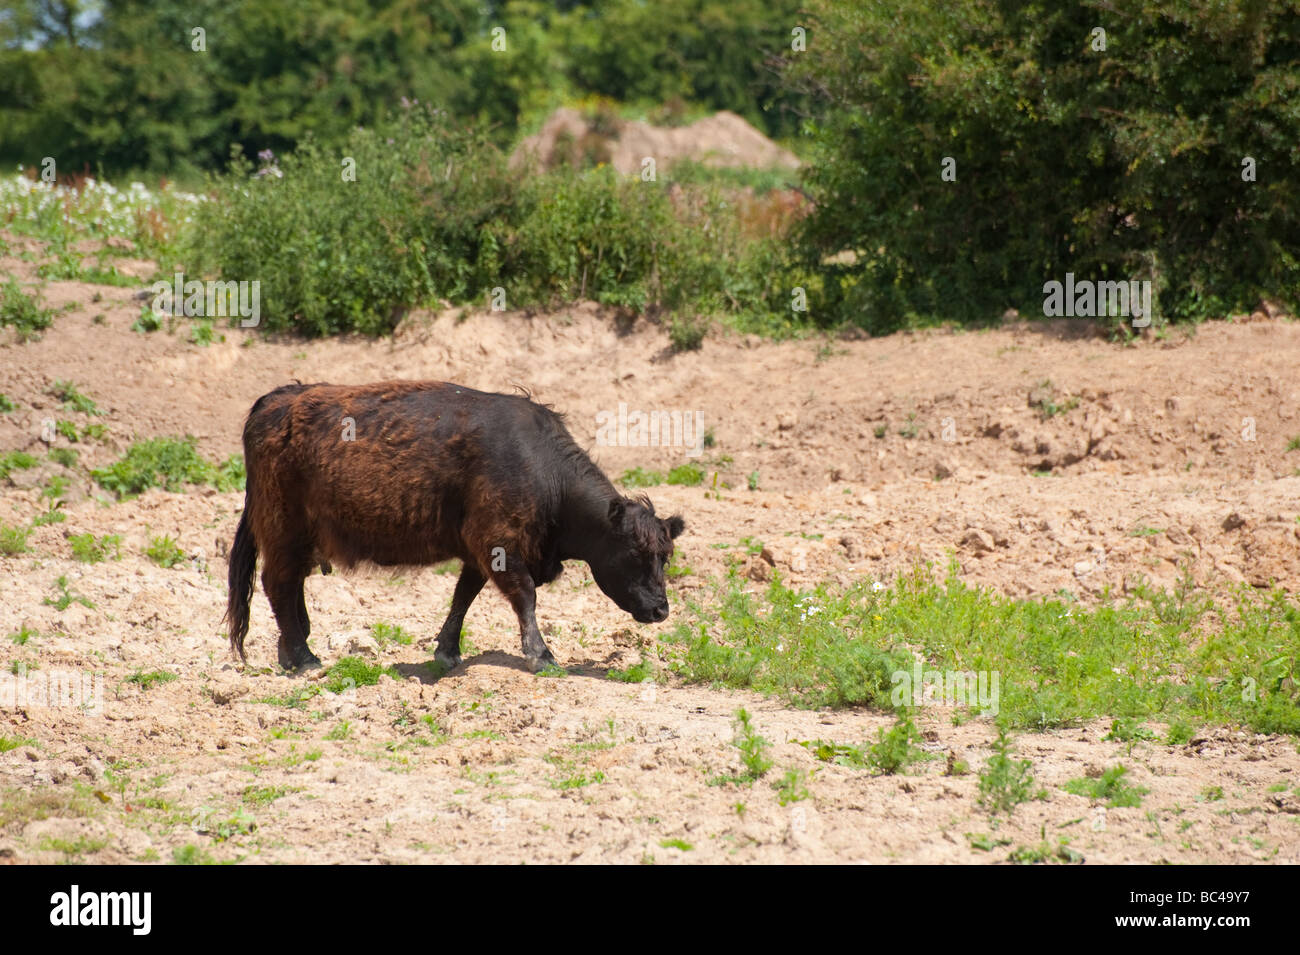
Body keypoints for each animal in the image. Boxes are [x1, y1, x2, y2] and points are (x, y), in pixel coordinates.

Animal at [224, 380, 685, 674]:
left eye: (665, 556)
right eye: (635, 553)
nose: (661, 610)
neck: (542, 469)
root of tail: (277, 399)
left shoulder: (478, 552)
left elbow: (463, 596)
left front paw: (447, 651)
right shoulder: (500, 544)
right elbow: (525, 597)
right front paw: (541, 655)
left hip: (299, 539)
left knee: (290, 588)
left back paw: (291, 653)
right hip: (283, 530)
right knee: (278, 584)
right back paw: (305, 660)